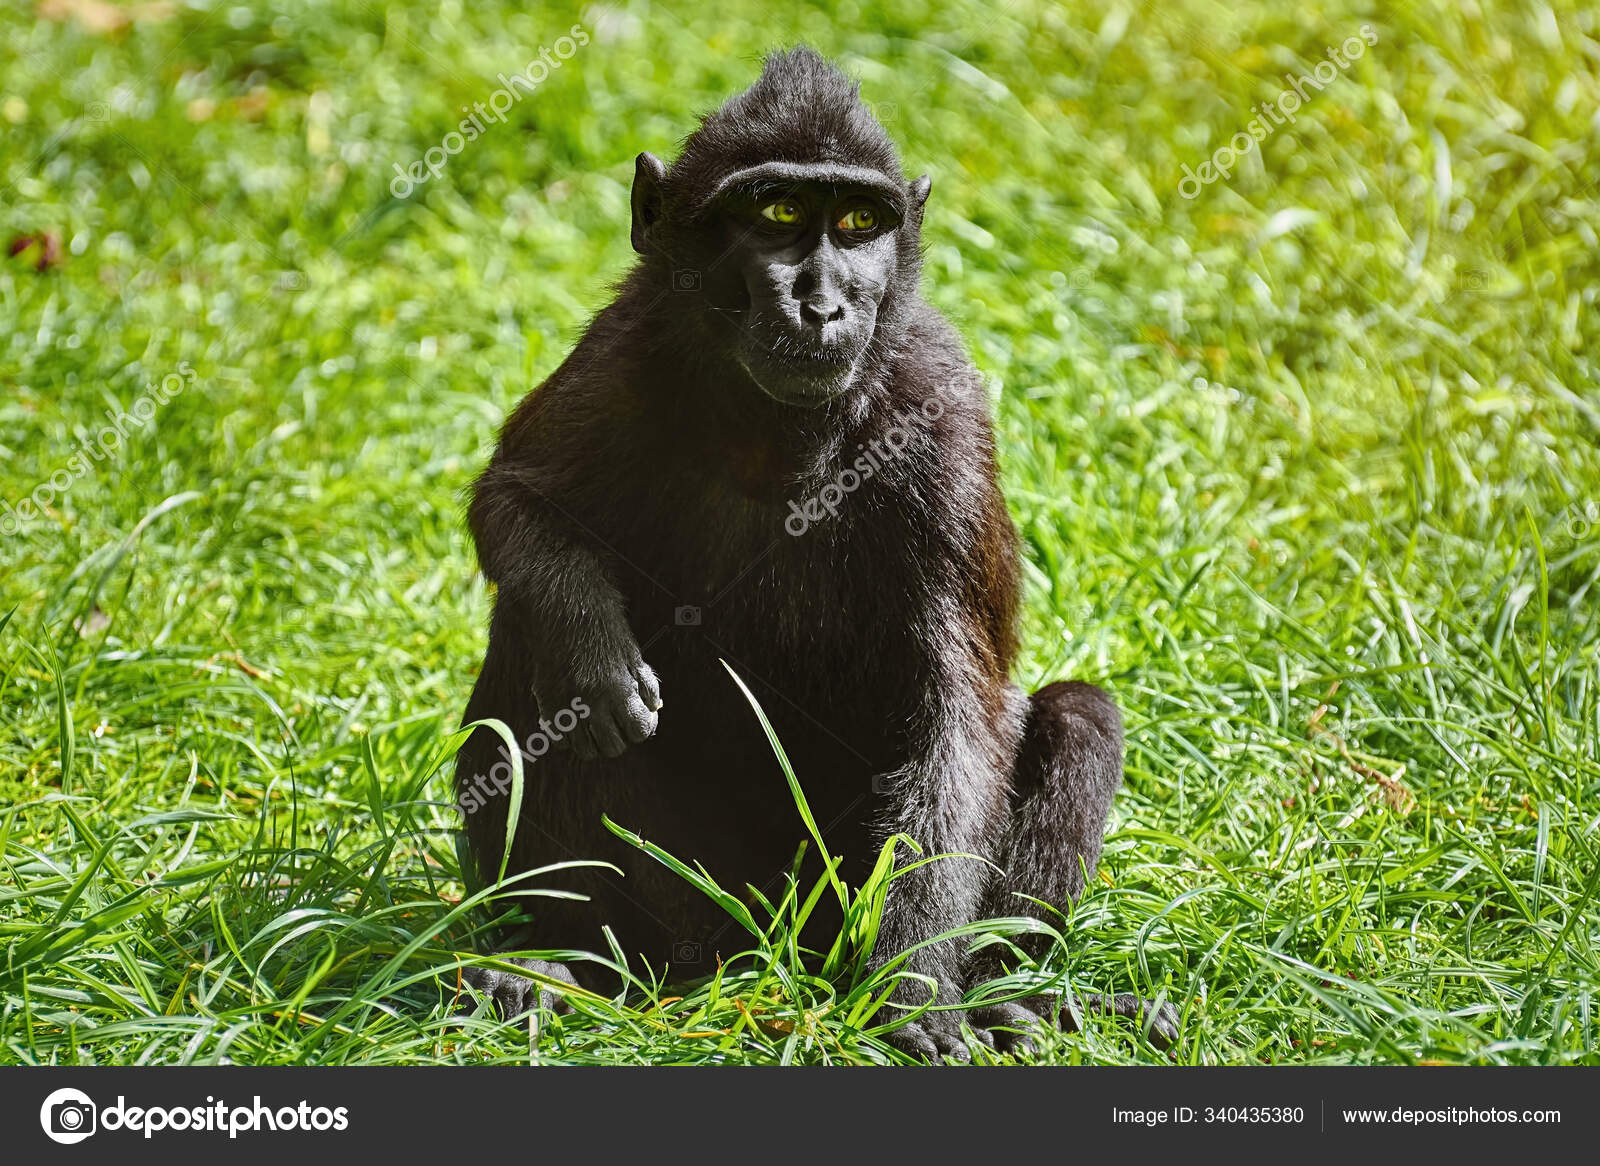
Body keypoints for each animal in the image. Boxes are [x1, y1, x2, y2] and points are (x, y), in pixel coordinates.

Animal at [454, 46, 1177, 1061]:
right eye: (781, 214)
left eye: (861, 223)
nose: (825, 306)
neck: (775, 431)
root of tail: (770, 951)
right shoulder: (623, 351)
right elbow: (516, 501)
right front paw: (596, 651)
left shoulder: (943, 406)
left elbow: (960, 713)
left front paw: (915, 990)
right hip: (703, 902)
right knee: (533, 654)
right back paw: (573, 964)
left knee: (1079, 716)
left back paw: (1011, 995)